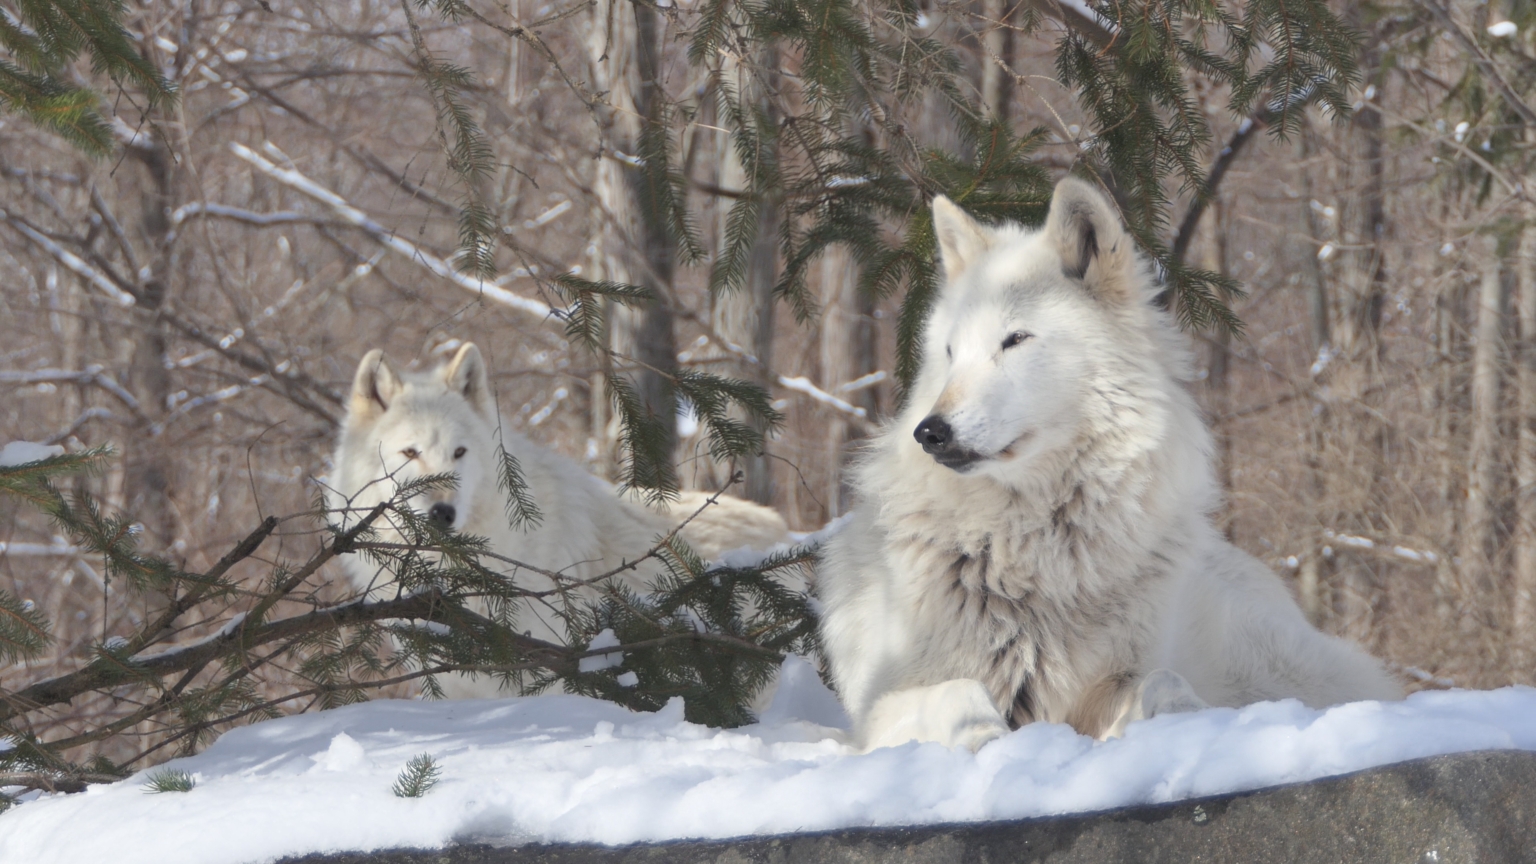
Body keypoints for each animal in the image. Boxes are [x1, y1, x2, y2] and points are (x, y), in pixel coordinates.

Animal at [817, 177, 1402, 752]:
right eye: (950, 353)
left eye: (1015, 339)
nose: (930, 433)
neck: (1033, 555)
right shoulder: (880, 708)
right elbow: (958, 694)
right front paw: (988, 741)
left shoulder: (1116, 681)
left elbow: (1162, 680)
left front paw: (1183, 722)